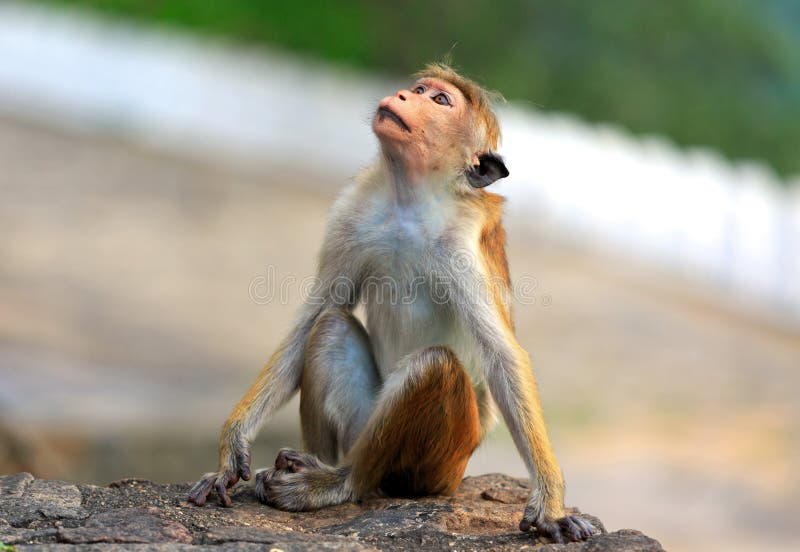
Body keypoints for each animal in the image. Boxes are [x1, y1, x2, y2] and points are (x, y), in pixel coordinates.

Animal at [188, 63, 594, 544]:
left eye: (439, 101)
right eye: (419, 89)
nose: (403, 95)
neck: (410, 202)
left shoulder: (463, 244)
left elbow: (502, 356)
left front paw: (551, 507)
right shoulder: (351, 215)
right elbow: (313, 318)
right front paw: (232, 447)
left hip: (443, 463)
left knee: (433, 365)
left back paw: (343, 482)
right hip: (363, 424)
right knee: (332, 327)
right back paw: (316, 463)